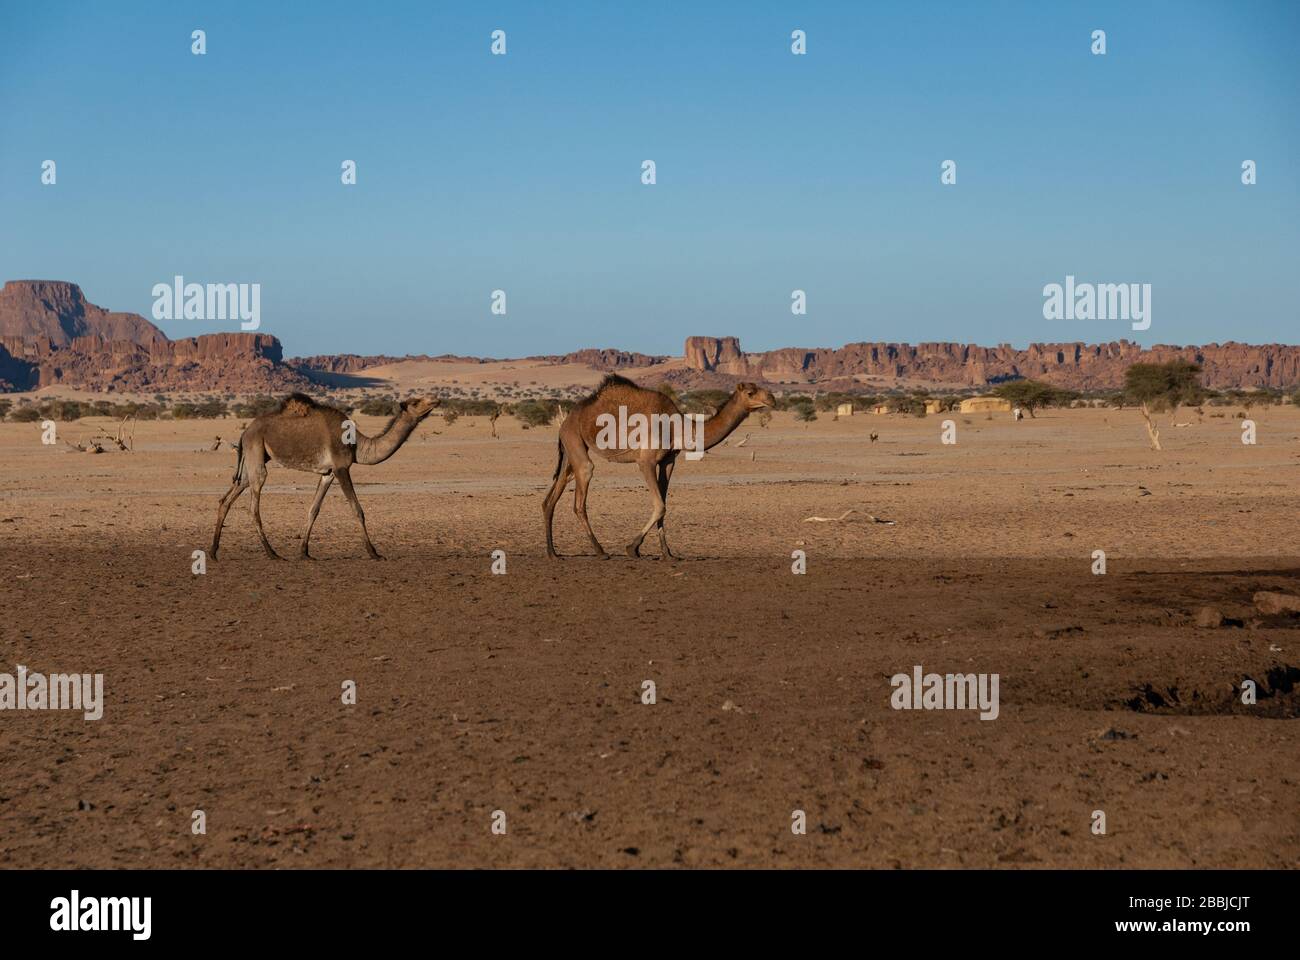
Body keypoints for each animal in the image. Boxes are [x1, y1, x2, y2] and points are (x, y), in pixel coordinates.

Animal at [210, 393, 439, 561]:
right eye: (416, 402)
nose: (436, 399)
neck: (357, 444)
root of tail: (245, 432)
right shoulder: (341, 468)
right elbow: (357, 509)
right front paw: (374, 553)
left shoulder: (328, 473)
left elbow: (314, 510)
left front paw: (304, 553)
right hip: (256, 450)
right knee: (254, 503)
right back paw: (272, 553)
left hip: (252, 459)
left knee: (227, 498)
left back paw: (213, 552)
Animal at [543, 375, 775, 559]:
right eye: (751, 392)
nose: (771, 398)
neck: (677, 427)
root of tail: (566, 421)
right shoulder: (645, 461)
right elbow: (660, 505)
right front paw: (632, 548)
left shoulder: (668, 461)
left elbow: (663, 505)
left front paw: (667, 554)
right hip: (575, 441)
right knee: (580, 493)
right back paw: (600, 552)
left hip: (569, 449)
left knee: (551, 497)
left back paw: (553, 554)